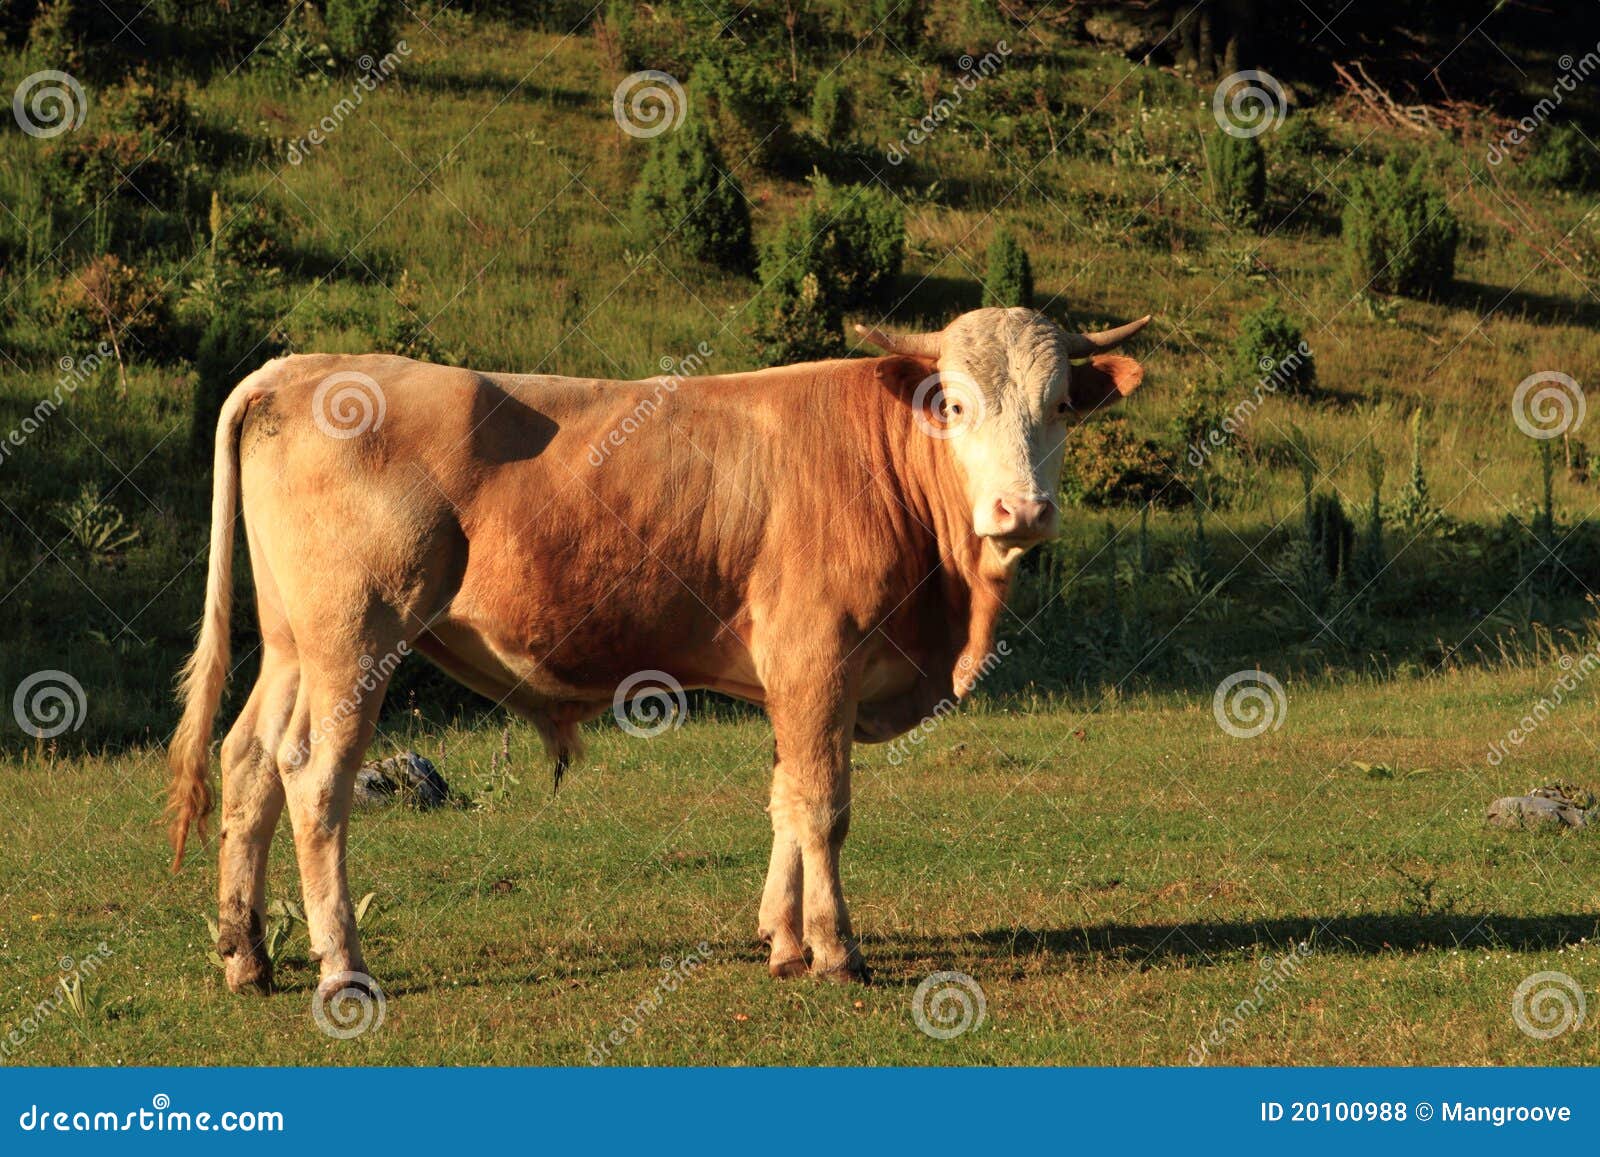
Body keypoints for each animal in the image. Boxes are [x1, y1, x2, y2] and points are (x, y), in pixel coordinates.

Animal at [165, 305, 1148, 1000]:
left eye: (1061, 404)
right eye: (955, 402)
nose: (1023, 510)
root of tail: (299, 365)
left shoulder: (792, 675)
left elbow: (784, 799)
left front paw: (780, 940)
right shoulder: (818, 654)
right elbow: (823, 804)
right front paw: (835, 950)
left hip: (291, 642)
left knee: (247, 759)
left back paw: (246, 956)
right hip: (356, 635)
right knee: (314, 775)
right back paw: (342, 966)